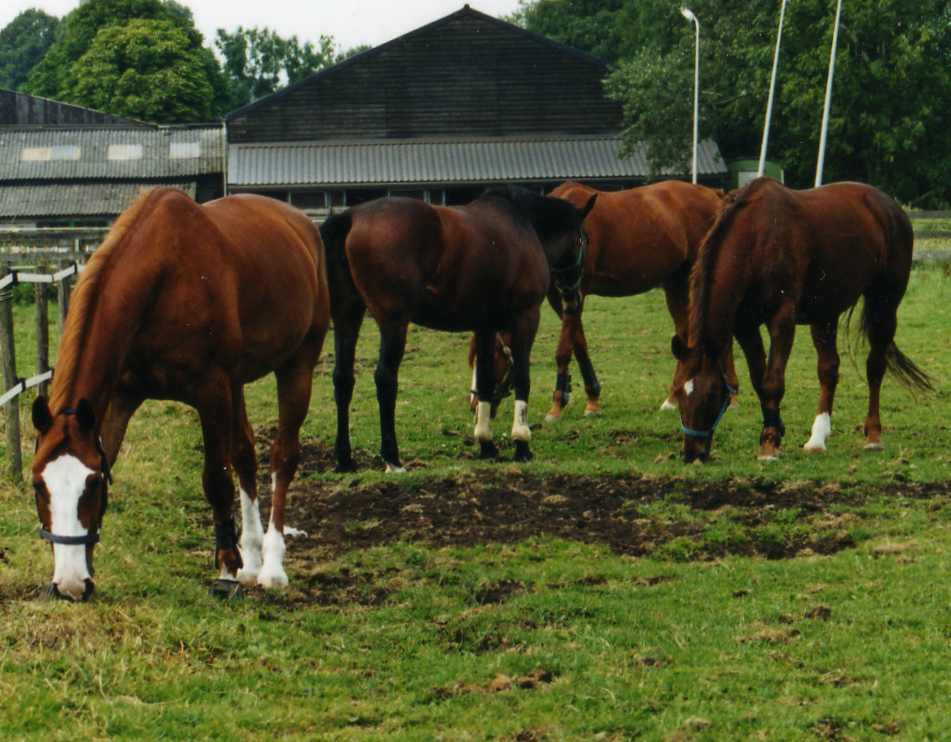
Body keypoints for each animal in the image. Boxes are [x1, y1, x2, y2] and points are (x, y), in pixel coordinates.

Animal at [31, 188, 330, 601]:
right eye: (37, 484)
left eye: (91, 484)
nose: (70, 584)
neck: (161, 278)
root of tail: (301, 225)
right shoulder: (119, 399)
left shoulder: (211, 390)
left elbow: (217, 481)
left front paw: (226, 570)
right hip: (237, 382)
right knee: (246, 456)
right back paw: (252, 562)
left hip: (297, 362)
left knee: (283, 457)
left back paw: (271, 565)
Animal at [319, 187, 596, 472]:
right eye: (584, 239)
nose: (573, 301)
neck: (523, 225)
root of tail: (351, 217)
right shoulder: (526, 317)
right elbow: (522, 377)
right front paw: (522, 443)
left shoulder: (485, 325)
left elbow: (485, 378)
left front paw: (486, 442)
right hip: (393, 323)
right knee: (385, 379)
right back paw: (392, 458)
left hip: (346, 319)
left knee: (343, 379)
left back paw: (344, 458)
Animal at [519, 180, 736, 421]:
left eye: (583, 241)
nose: (572, 292)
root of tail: (714, 195)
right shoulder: (559, 298)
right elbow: (579, 344)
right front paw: (592, 399)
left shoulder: (575, 295)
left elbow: (564, 350)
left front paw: (557, 405)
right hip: (676, 283)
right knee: (685, 333)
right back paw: (673, 399)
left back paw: (731, 398)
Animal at [673, 177, 933, 464]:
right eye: (678, 393)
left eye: (710, 395)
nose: (691, 454)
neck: (757, 237)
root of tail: (891, 208)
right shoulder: (745, 325)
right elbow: (759, 379)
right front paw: (775, 432)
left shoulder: (782, 320)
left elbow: (772, 382)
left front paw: (768, 444)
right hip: (825, 314)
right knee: (829, 371)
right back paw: (817, 439)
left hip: (884, 304)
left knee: (875, 367)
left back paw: (873, 436)